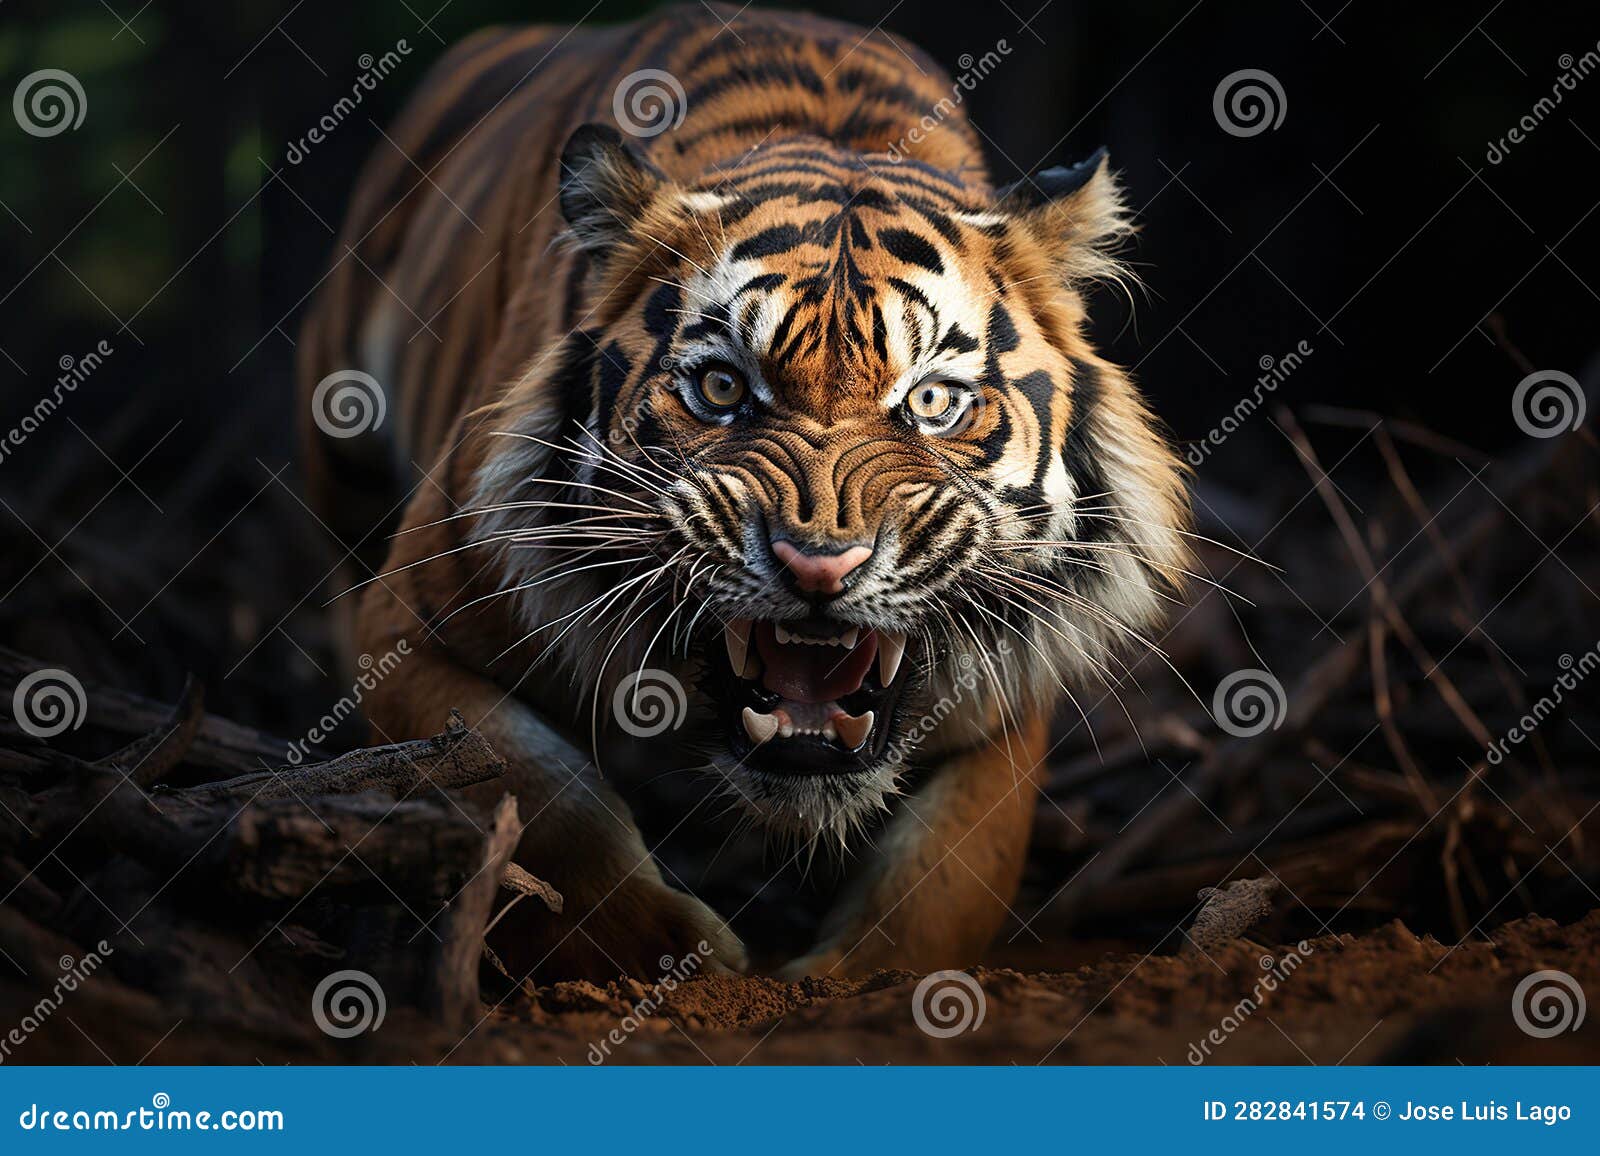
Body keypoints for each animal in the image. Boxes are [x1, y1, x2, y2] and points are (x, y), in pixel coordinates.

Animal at [297, 2, 1190, 983]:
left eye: (932, 401)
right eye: (723, 388)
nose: (820, 566)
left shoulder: (1004, 705)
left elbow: (949, 877)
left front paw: (849, 980)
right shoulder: (410, 633)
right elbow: (546, 803)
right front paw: (676, 955)